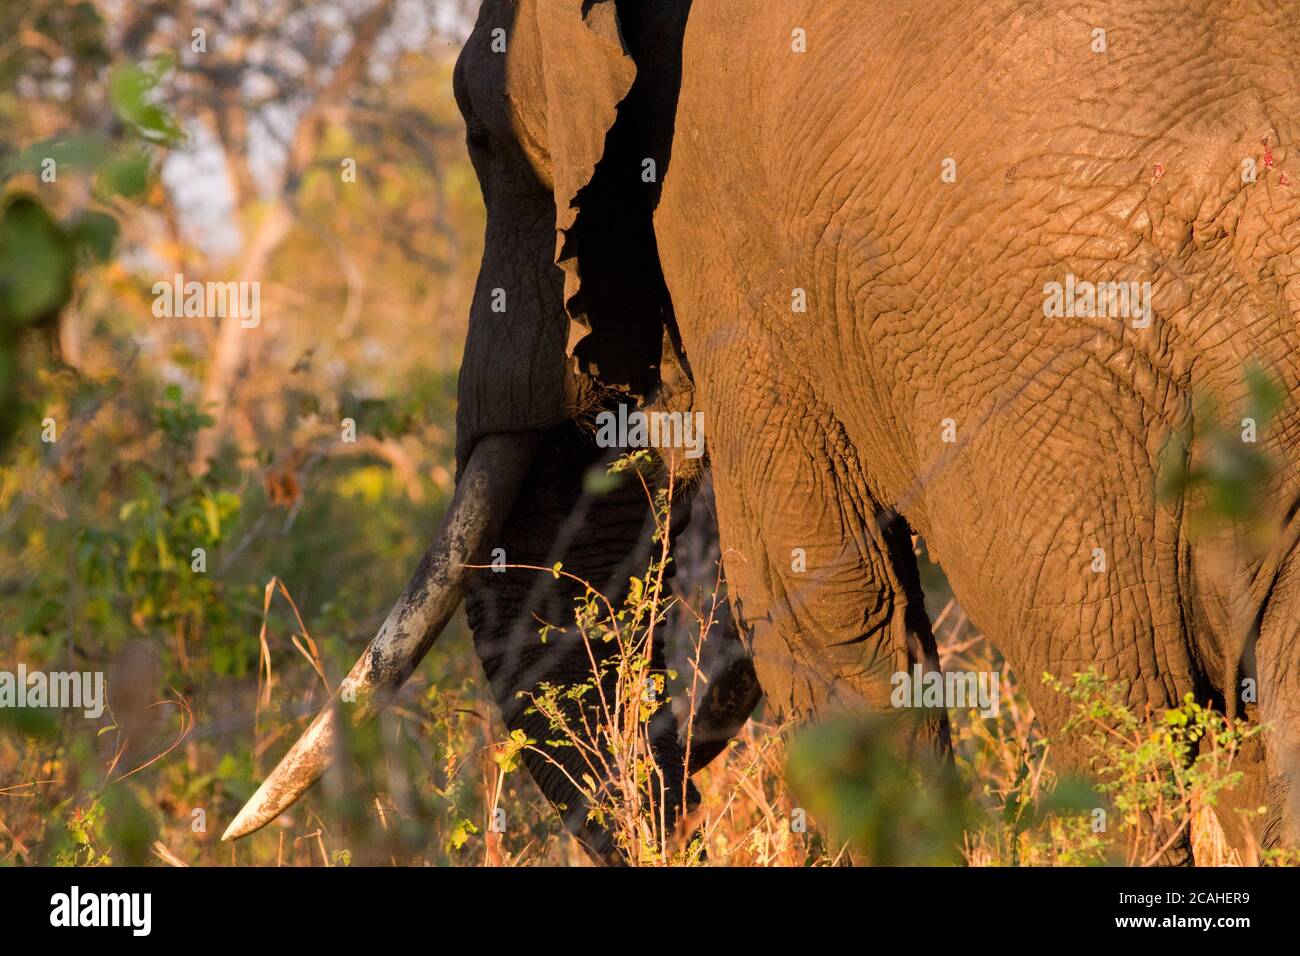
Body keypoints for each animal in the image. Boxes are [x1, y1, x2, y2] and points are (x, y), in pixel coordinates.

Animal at [225, 0, 1300, 865]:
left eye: (480, 135)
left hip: (1058, 379)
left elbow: (821, 607)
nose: (681, 812)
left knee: (1123, 714)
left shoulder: (721, 229)